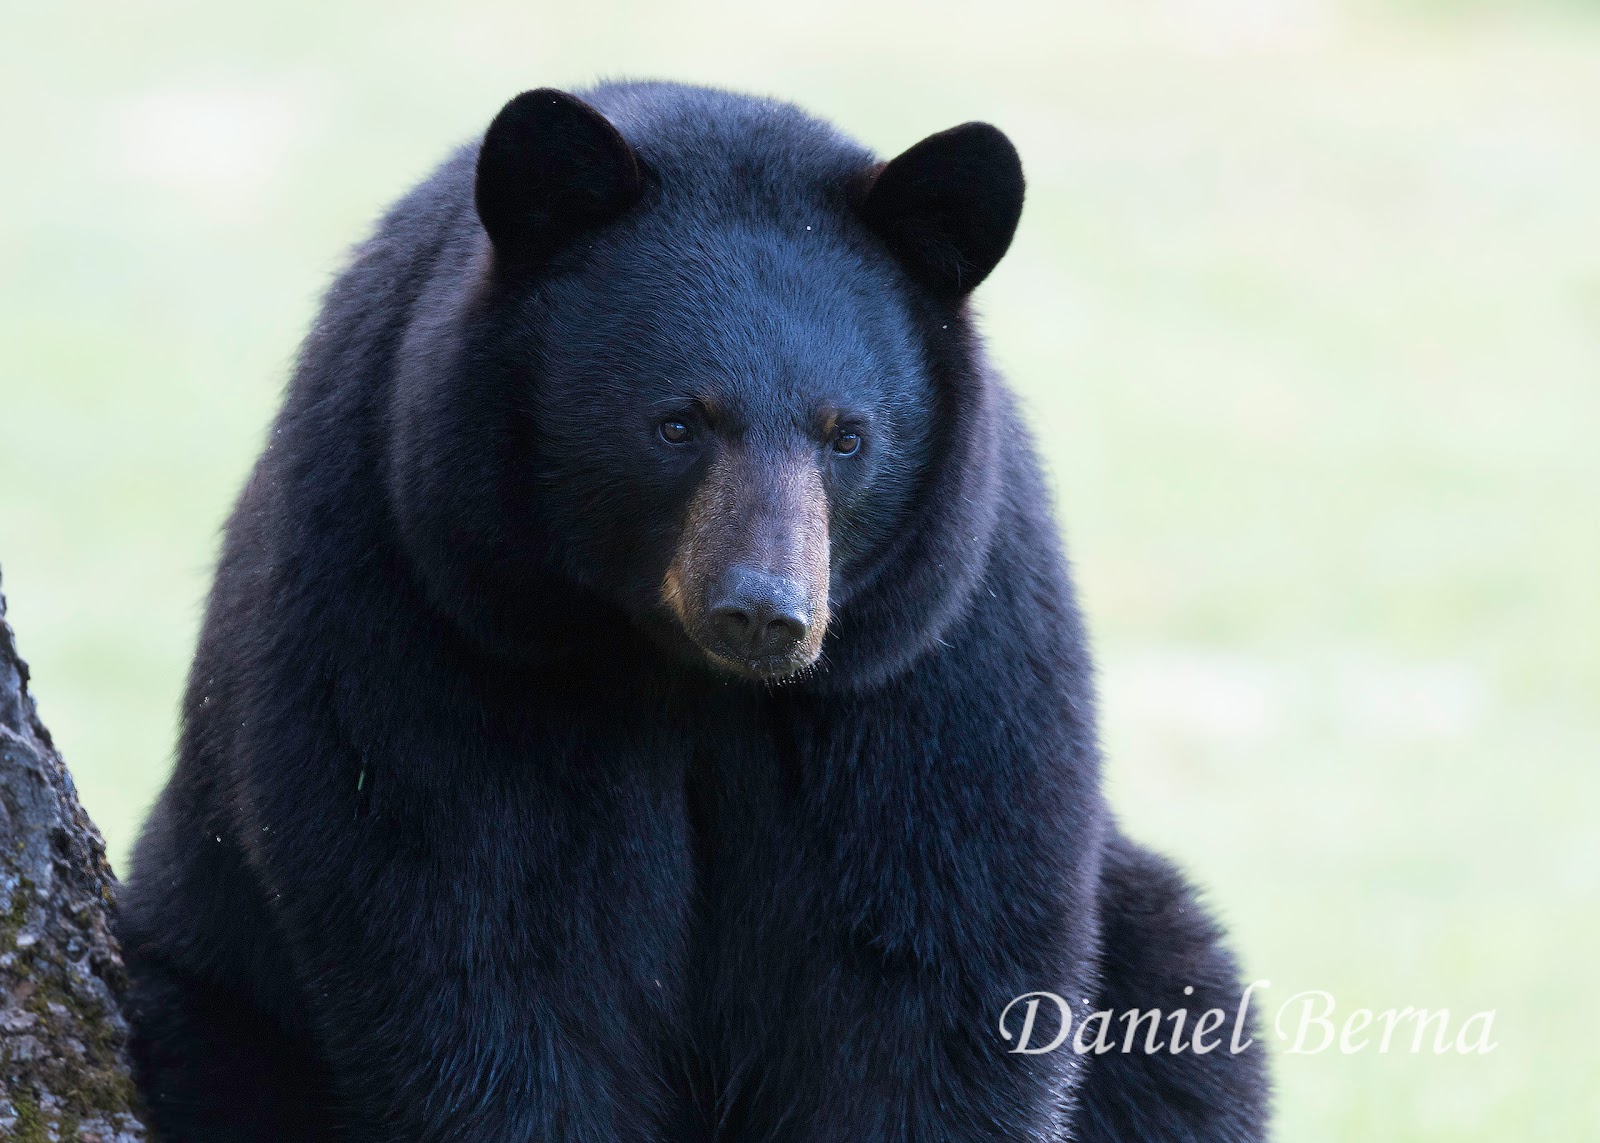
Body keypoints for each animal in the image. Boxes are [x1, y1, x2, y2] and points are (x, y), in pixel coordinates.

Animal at [117, 82, 1270, 1141]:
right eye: (678, 422)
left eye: (847, 434)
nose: (764, 611)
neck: (679, 672)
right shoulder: (427, 616)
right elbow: (481, 942)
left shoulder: (934, 658)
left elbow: (928, 964)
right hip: (210, 985)